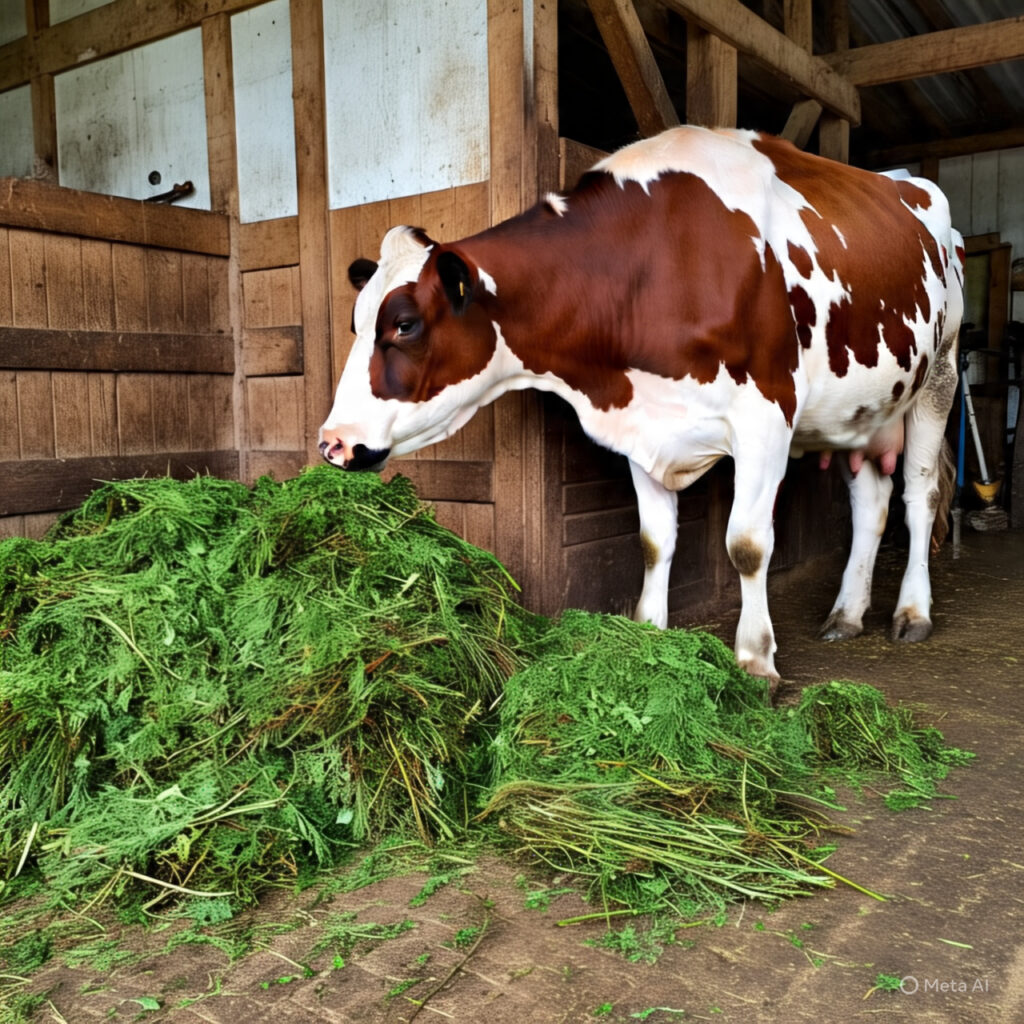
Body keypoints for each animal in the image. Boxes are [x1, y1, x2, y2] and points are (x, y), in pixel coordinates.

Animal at [320, 126, 964, 690]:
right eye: (353, 323)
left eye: (404, 324)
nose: (333, 442)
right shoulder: (641, 421)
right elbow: (655, 540)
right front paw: (648, 635)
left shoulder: (766, 414)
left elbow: (747, 545)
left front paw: (756, 660)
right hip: (864, 410)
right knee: (871, 504)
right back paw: (847, 613)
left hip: (939, 376)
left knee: (919, 496)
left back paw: (912, 613)